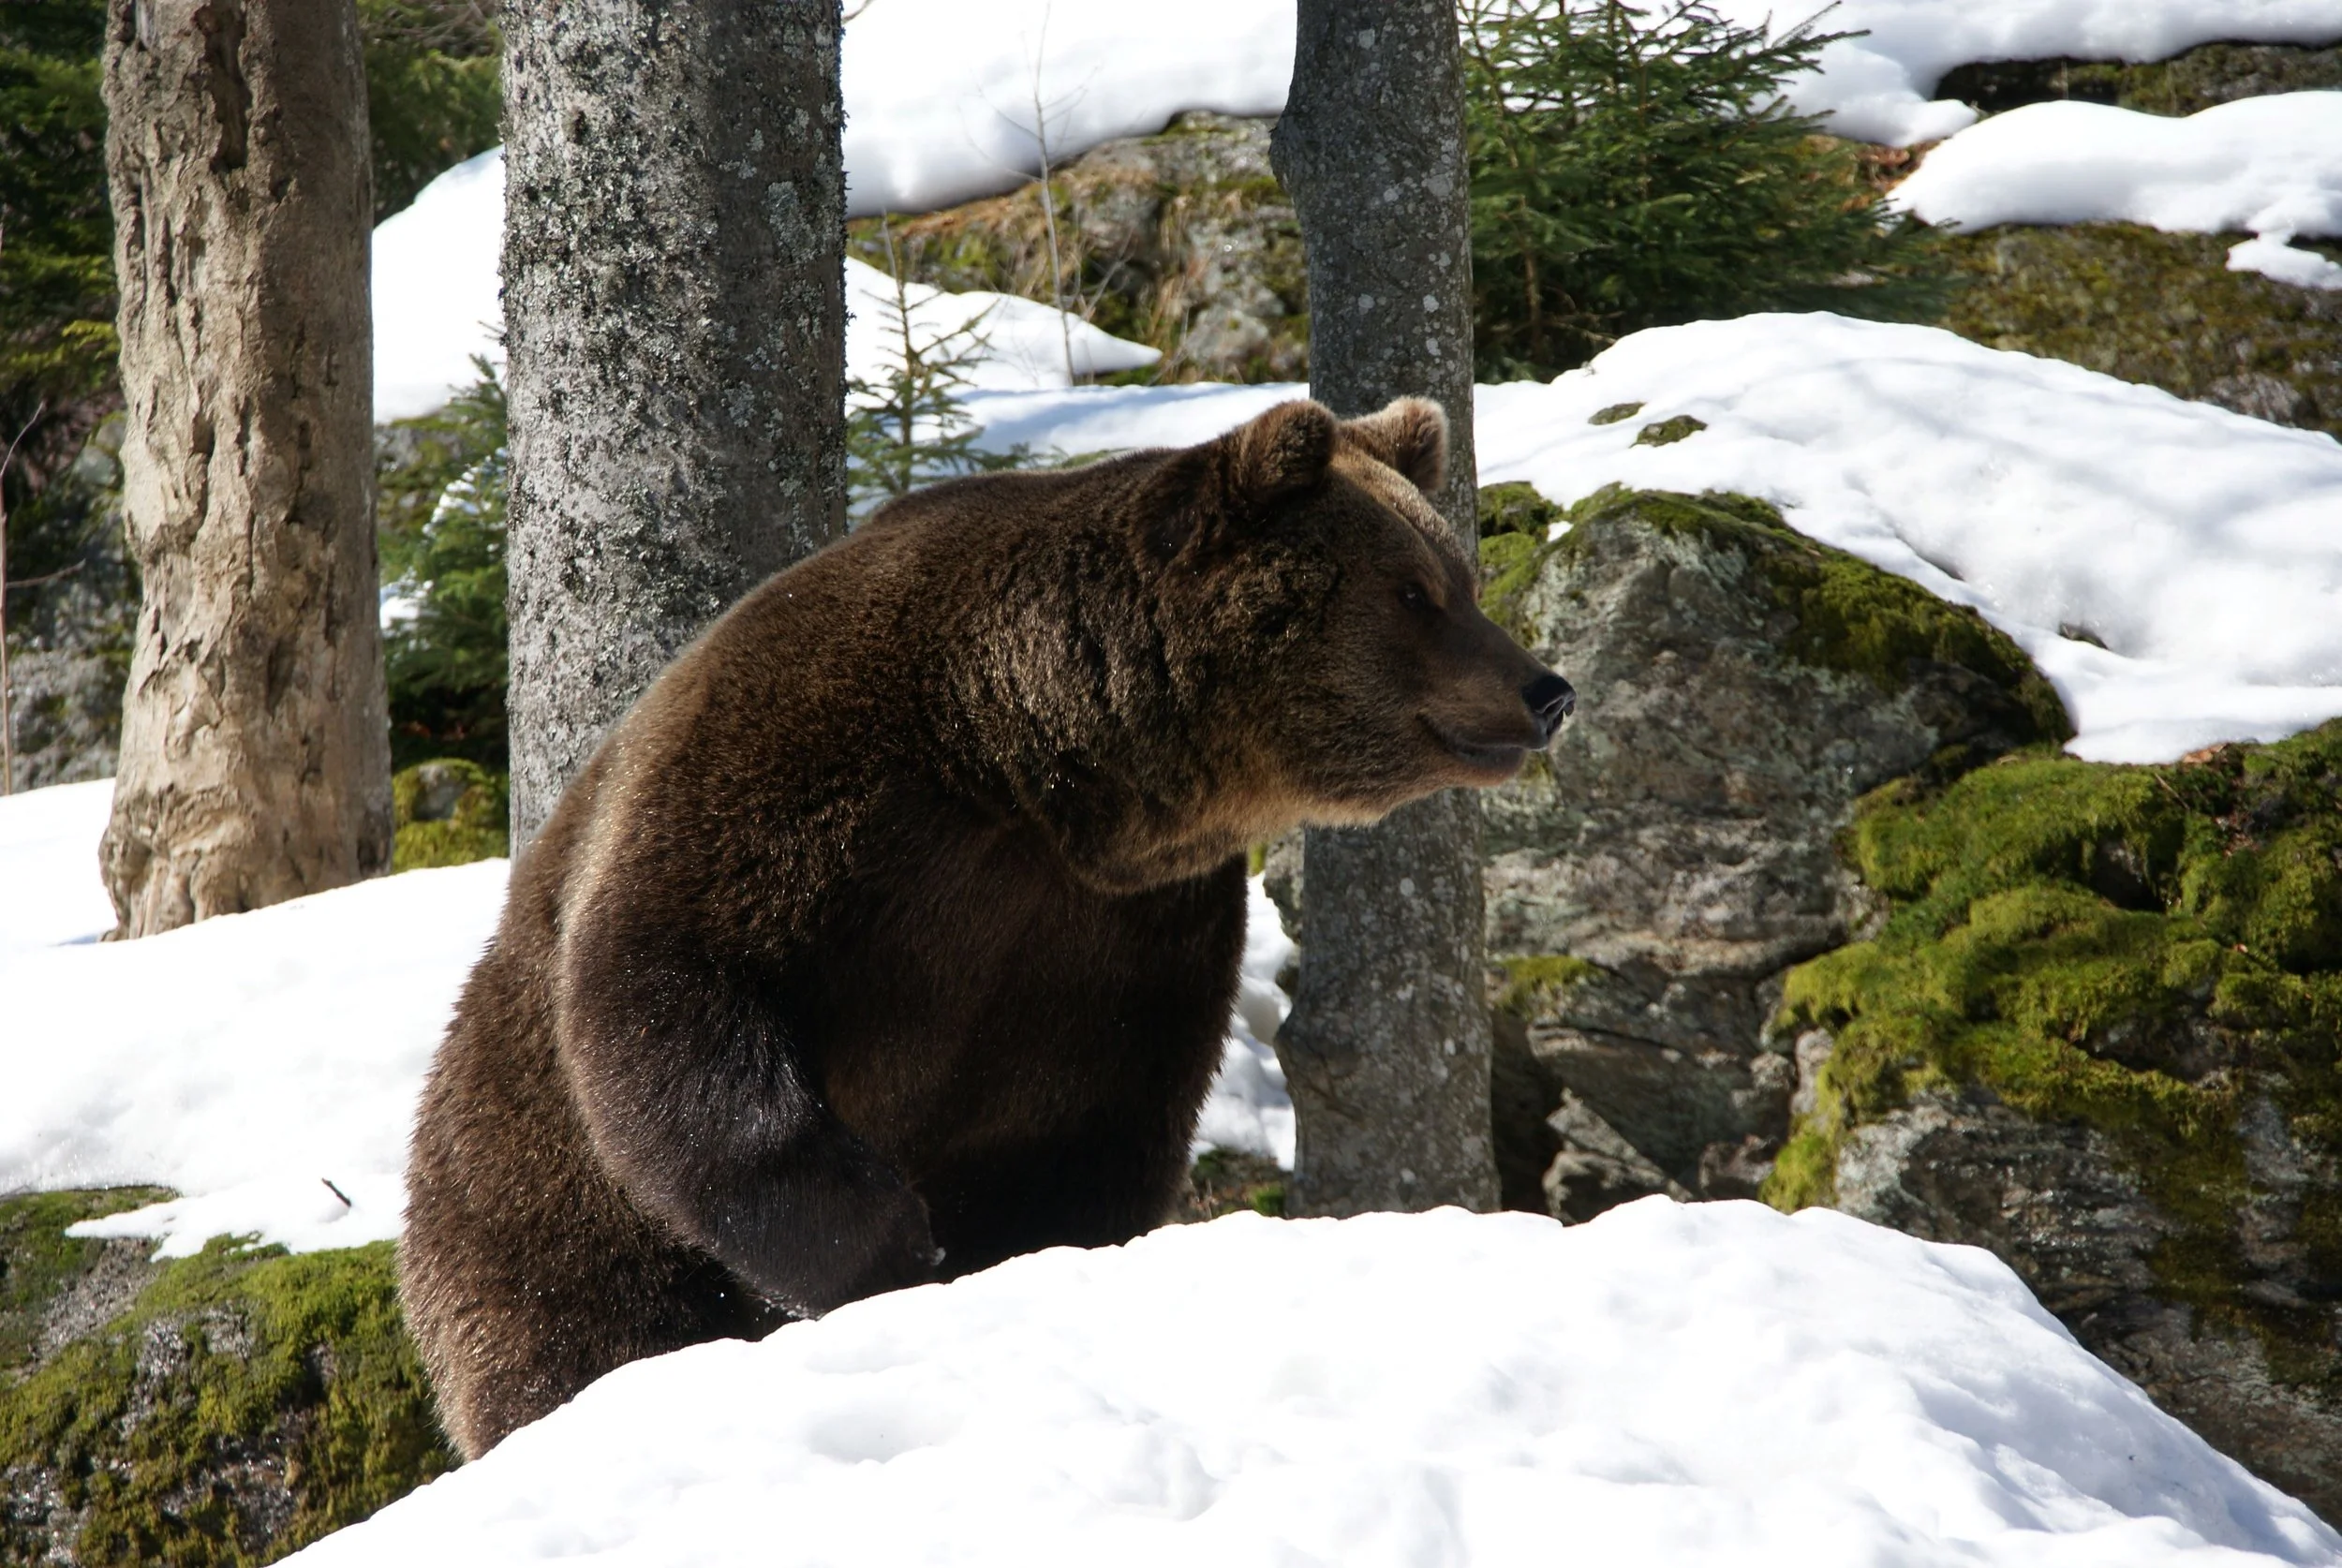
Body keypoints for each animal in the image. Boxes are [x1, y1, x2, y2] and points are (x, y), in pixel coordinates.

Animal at [398, 396, 1576, 1457]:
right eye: (1414, 590)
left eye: (1460, 578)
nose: (1545, 688)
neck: (1025, 758)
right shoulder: (800, 778)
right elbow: (671, 986)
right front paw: (885, 1239)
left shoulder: (1116, 933)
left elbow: (1087, 1128)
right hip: (525, 1198)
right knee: (569, 1329)